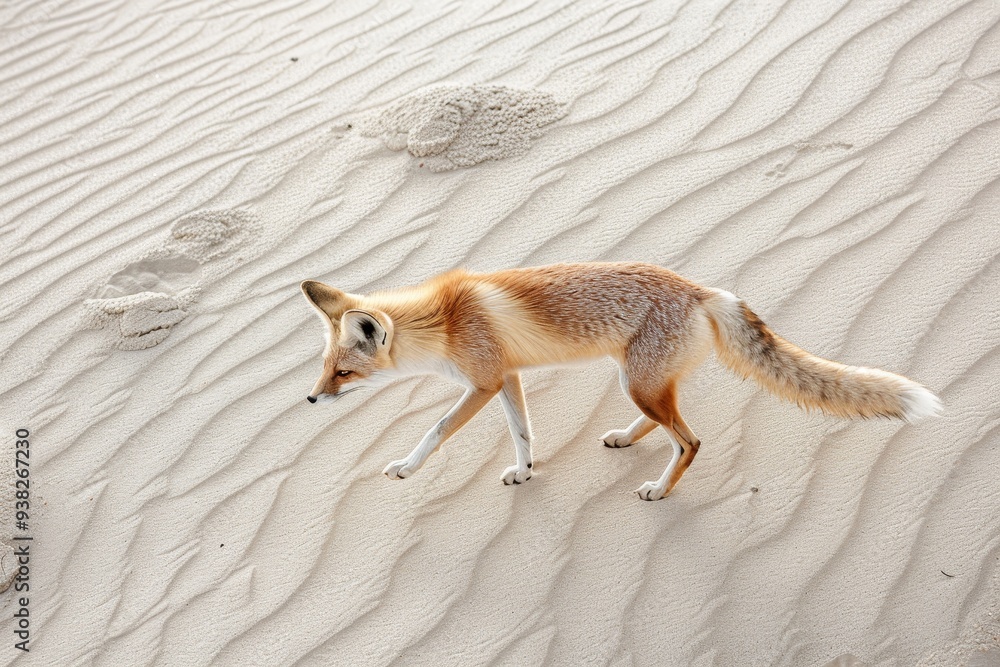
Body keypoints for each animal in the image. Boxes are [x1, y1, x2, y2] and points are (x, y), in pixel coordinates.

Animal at [301, 262, 940, 501]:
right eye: (325, 368)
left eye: (342, 372)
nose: (309, 398)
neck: (445, 322)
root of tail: (703, 290)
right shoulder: (507, 378)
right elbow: (523, 434)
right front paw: (525, 472)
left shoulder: (481, 383)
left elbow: (434, 431)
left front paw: (406, 467)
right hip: (642, 381)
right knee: (669, 424)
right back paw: (627, 439)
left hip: (637, 381)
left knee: (691, 440)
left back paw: (659, 489)